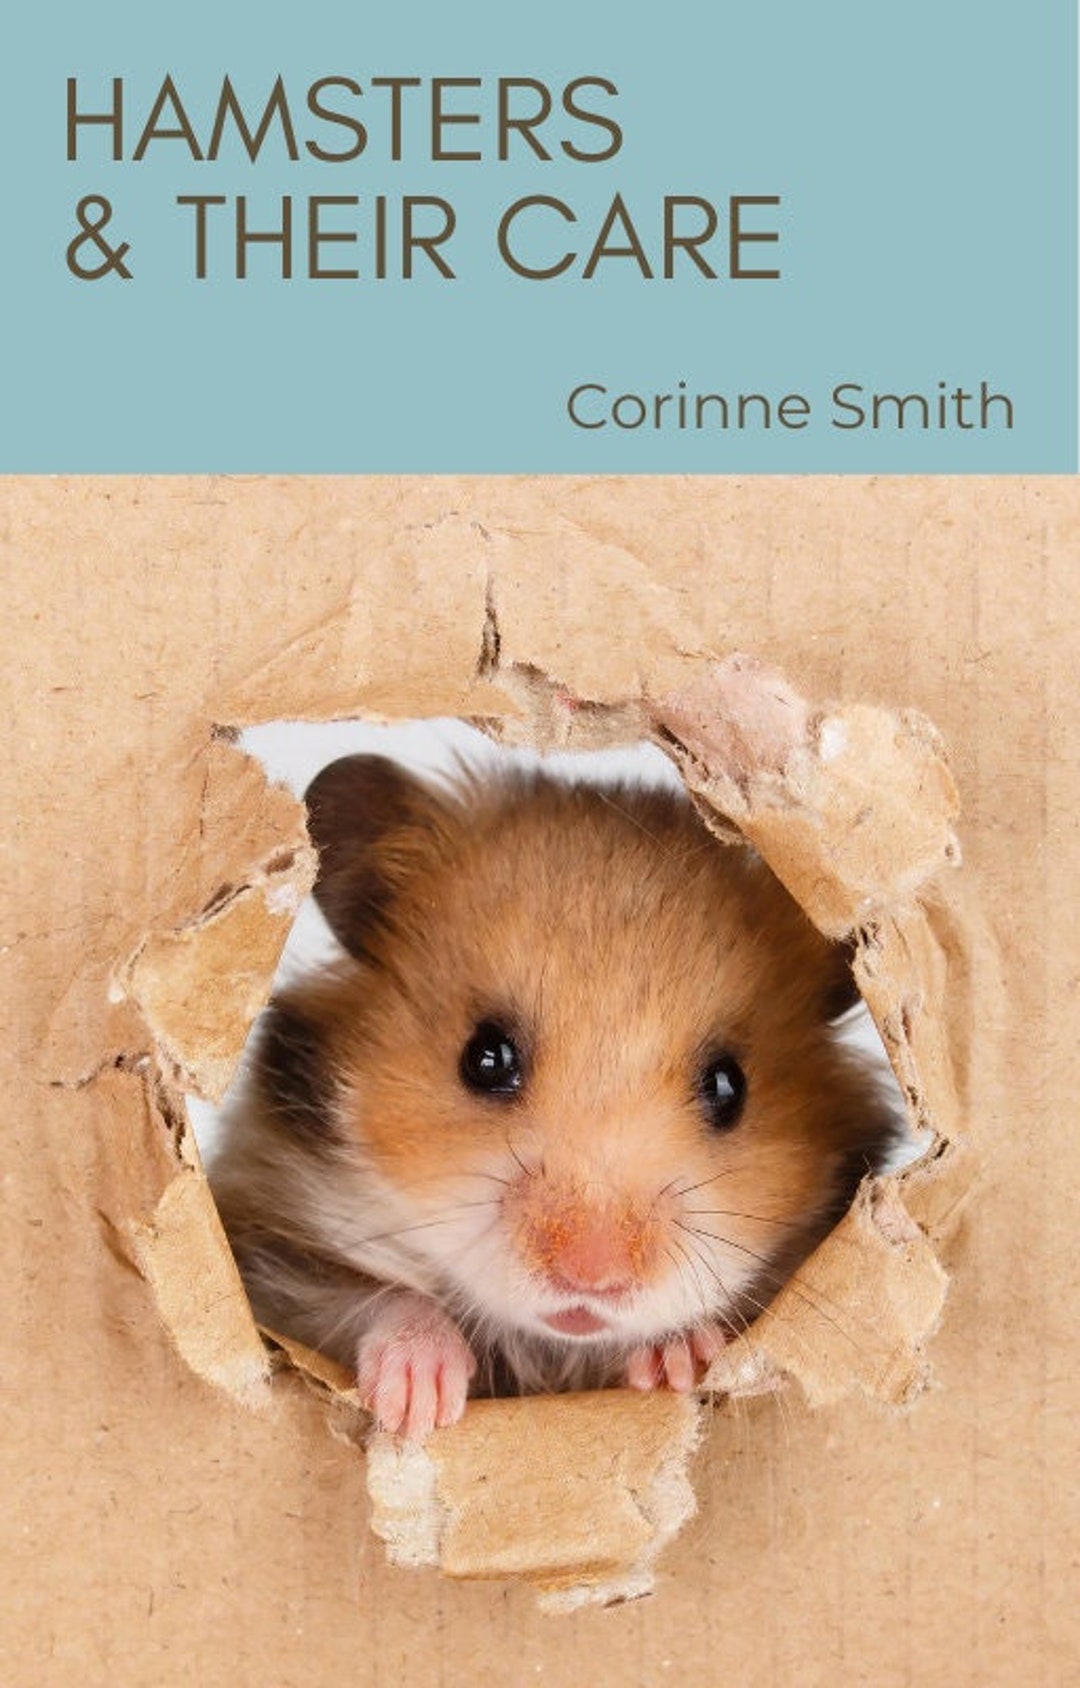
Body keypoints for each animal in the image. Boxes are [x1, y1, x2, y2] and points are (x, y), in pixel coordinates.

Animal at [208, 753, 898, 1441]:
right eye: (485, 1057)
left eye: (730, 1086)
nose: (592, 1278)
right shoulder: (271, 1252)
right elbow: (376, 1297)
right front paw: (419, 1402)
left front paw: (676, 1359)